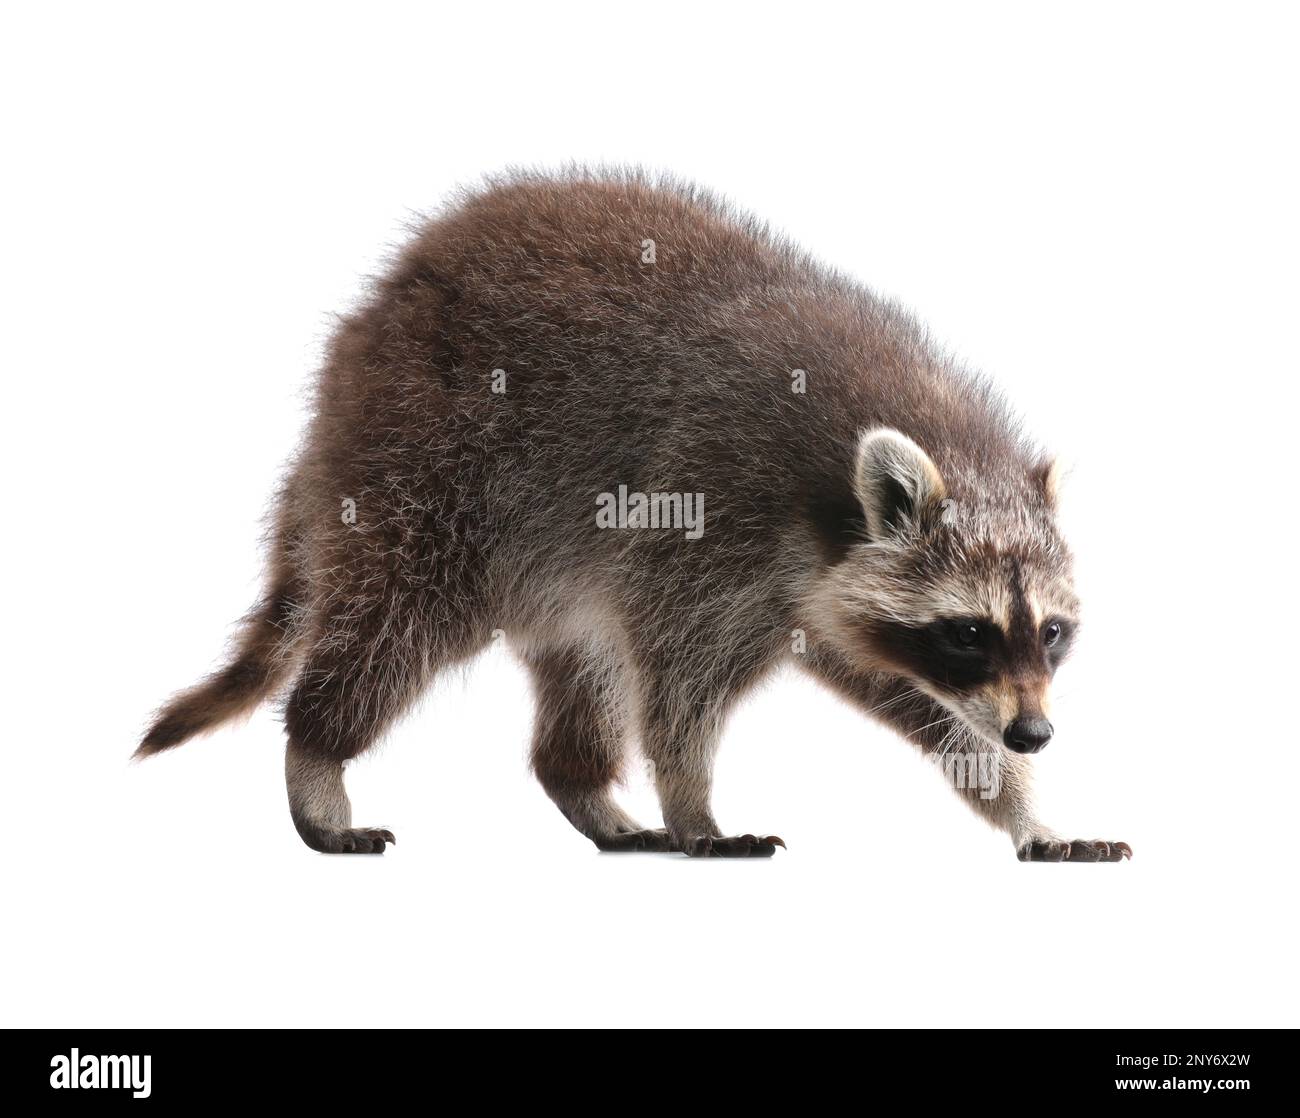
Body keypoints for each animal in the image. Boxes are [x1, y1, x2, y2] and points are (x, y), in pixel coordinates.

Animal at [138, 169, 1130, 863]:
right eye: (967, 631)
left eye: (1051, 632)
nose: (1036, 733)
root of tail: (361, 330)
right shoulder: (705, 506)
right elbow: (677, 682)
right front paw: (693, 801)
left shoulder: (823, 595)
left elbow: (923, 706)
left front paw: (1024, 805)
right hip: (427, 465)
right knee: (398, 617)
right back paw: (317, 750)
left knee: (588, 667)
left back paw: (583, 788)